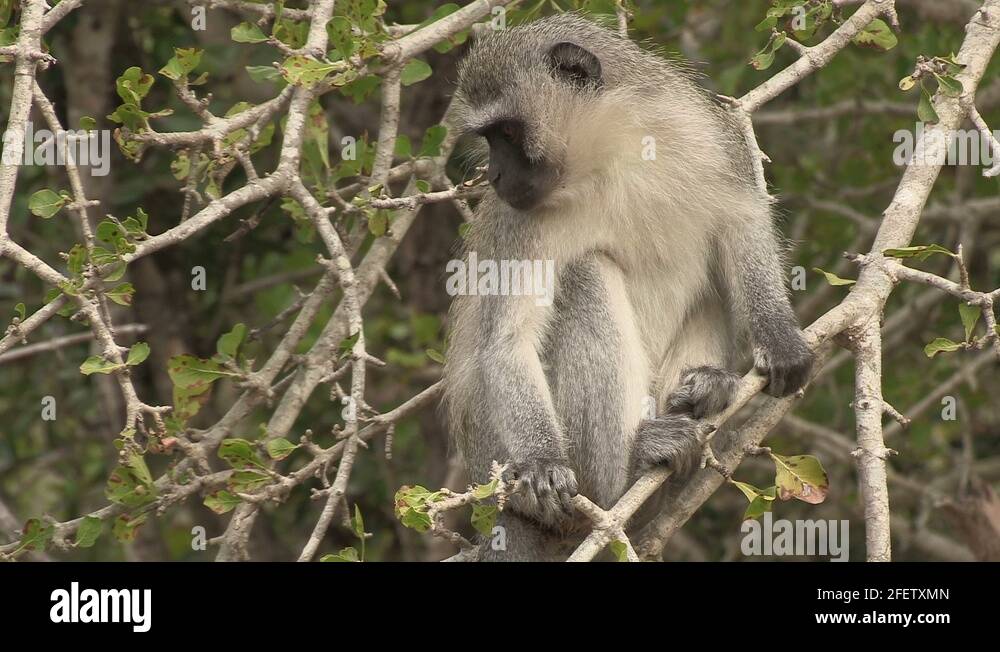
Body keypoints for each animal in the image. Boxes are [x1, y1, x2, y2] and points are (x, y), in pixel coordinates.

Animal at [442, 14, 813, 561]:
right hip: (514, 475)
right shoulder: (519, 222)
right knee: (585, 274)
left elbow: (741, 221)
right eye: (488, 137)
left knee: (712, 282)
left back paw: (705, 395)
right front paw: (541, 461)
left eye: (506, 132)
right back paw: (632, 467)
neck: (610, 155)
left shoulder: (703, 131)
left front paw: (779, 335)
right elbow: (507, 341)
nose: (494, 175)